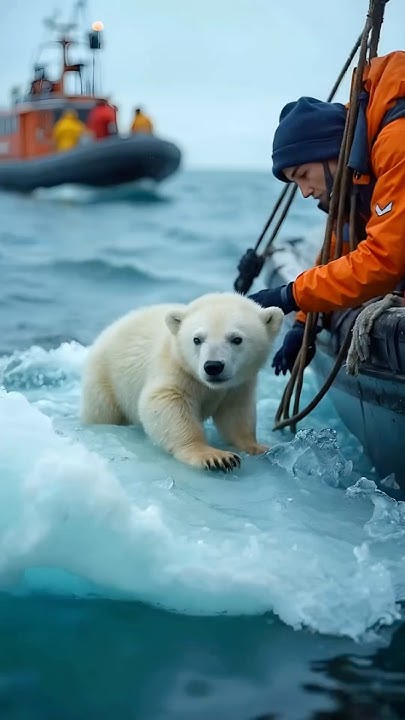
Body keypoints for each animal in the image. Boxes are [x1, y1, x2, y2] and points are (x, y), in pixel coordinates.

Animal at [81, 292, 283, 471]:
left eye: (237, 339)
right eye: (197, 339)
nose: (213, 366)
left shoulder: (237, 386)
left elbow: (236, 413)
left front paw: (256, 447)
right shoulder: (176, 368)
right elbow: (165, 404)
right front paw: (215, 456)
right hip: (105, 379)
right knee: (103, 411)